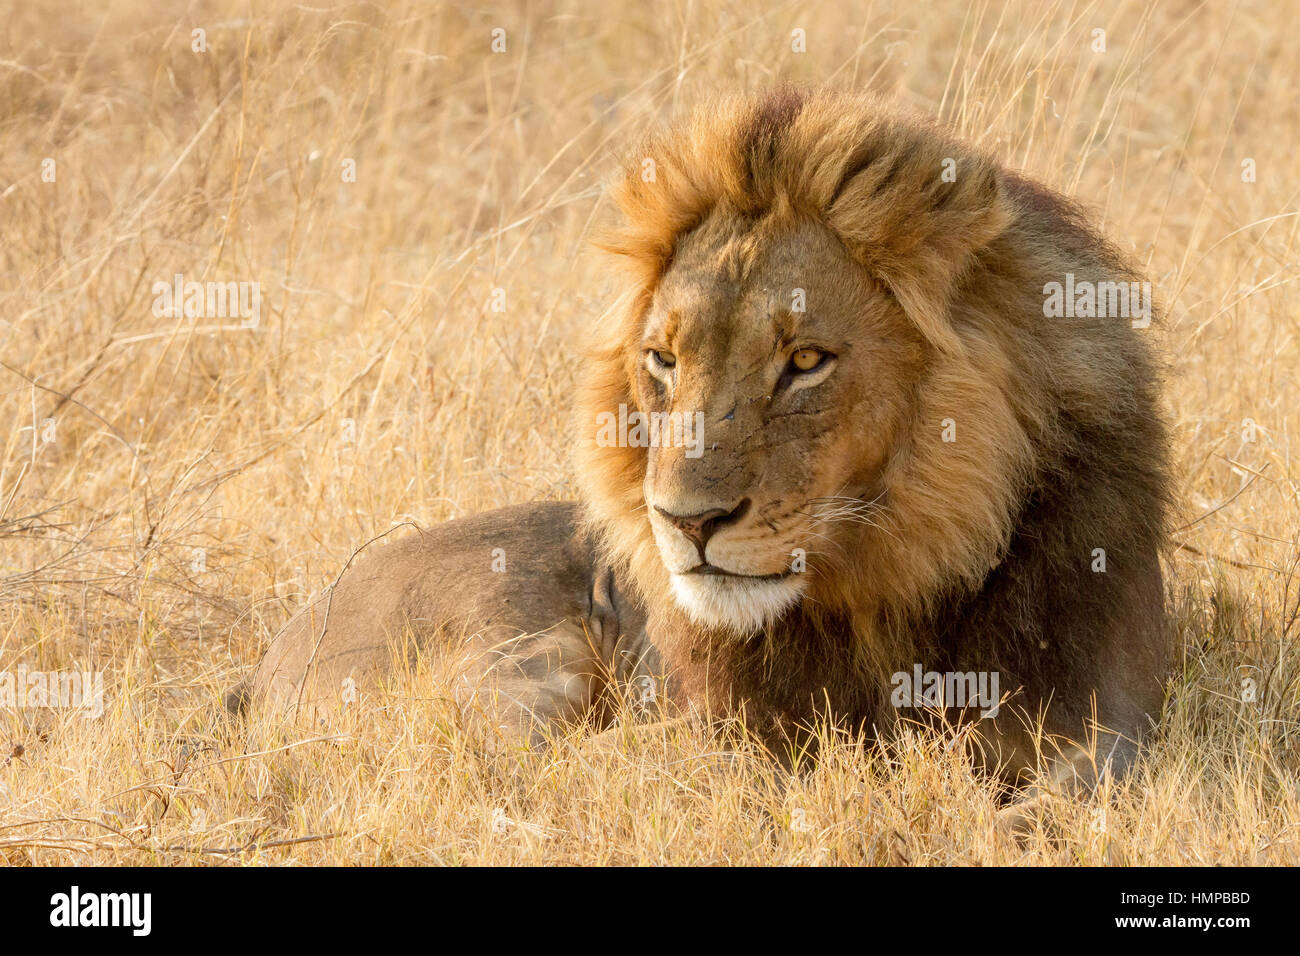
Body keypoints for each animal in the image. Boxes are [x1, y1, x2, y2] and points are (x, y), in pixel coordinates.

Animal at [227, 88, 1172, 819]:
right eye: (664, 360)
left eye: (805, 361)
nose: (687, 522)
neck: (884, 584)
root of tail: (274, 652)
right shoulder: (723, 729)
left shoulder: (1110, 716)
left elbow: (1079, 790)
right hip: (522, 661)